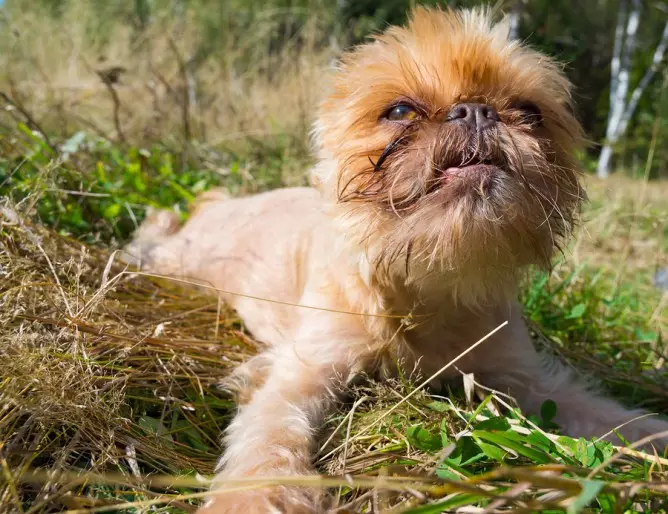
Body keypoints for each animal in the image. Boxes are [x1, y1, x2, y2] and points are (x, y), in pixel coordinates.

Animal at [125, 7, 668, 512]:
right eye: (401, 110)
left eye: (529, 111)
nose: (476, 110)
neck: (427, 288)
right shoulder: (301, 372)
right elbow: (268, 443)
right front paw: (256, 500)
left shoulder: (526, 379)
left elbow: (612, 417)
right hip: (182, 258)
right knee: (158, 233)